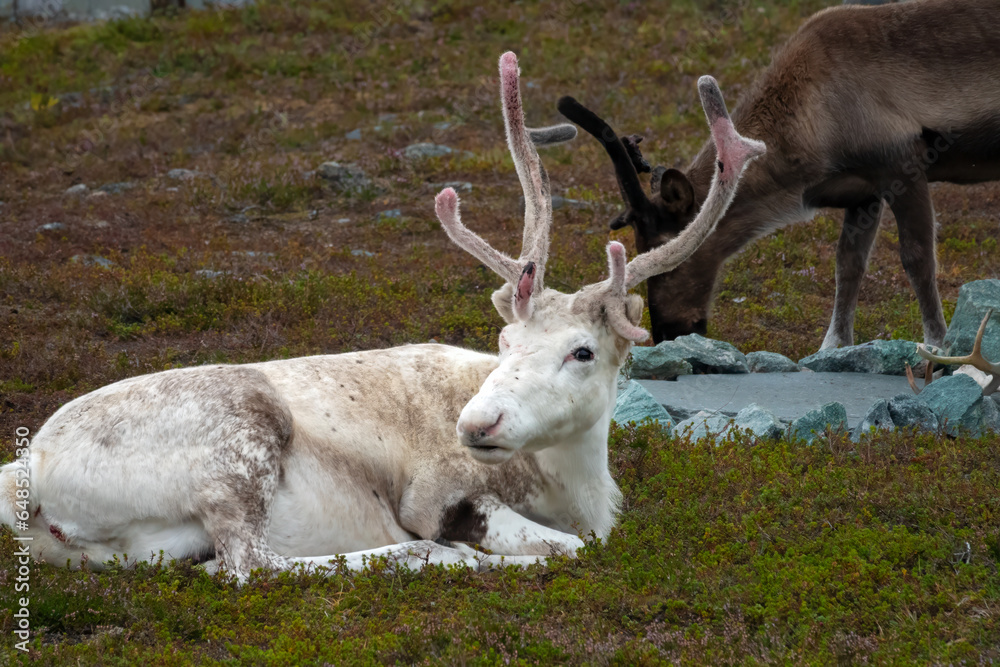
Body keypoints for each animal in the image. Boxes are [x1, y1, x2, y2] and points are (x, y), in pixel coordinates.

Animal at [0, 53, 765, 580]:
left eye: (582, 350)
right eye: (504, 338)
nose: (475, 424)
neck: (570, 481)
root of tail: (27, 474)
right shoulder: (437, 493)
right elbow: (565, 547)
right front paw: (471, 550)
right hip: (239, 440)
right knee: (246, 566)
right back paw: (433, 558)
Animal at [558, 0, 1000, 348]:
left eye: (670, 250)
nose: (668, 331)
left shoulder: (903, 165)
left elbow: (917, 258)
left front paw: (938, 346)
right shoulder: (863, 191)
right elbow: (848, 265)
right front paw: (832, 346)